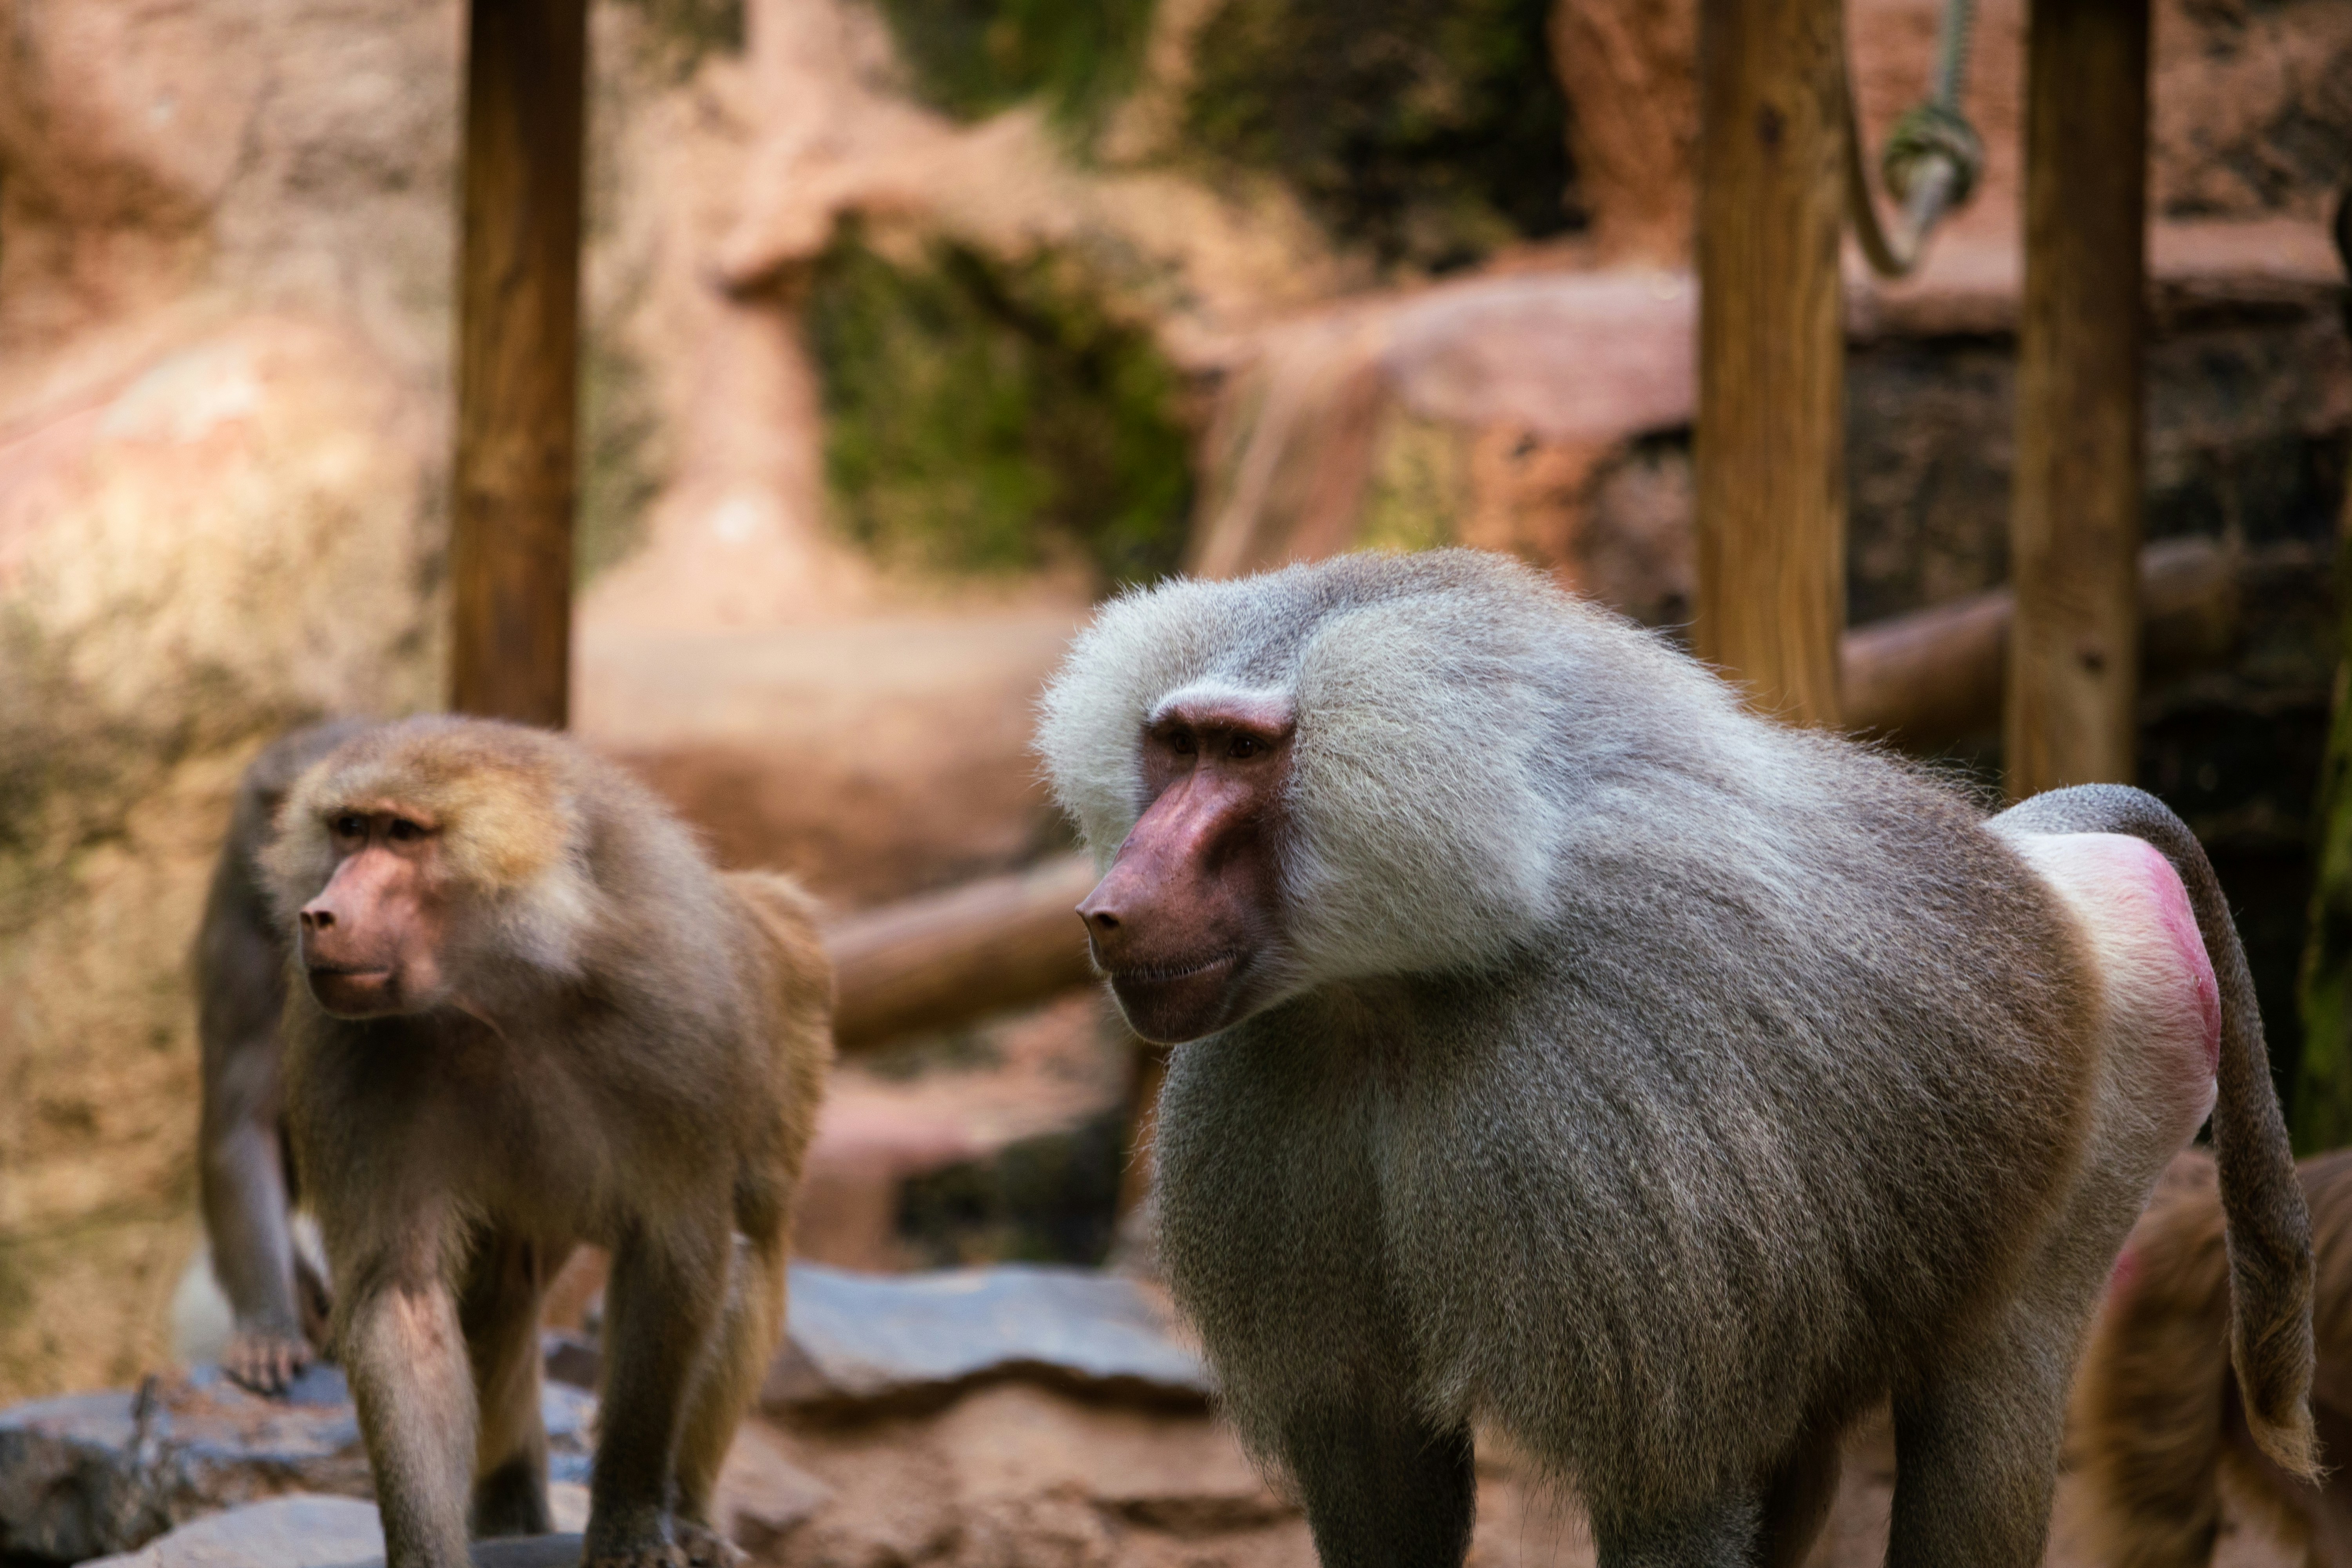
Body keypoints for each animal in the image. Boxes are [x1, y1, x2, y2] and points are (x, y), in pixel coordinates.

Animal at [259, 716, 832, 1568]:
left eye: (404, 834)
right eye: (349, 828)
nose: (319, 915)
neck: (505, 986)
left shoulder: (677, 1017)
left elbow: (678, 1254)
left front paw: (631, 1523)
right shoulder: (346, 1048)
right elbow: (404, 1301)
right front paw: (430, 1553)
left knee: (754, 1244)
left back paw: (692, 1514)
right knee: (502, 1289)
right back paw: (509, 1513)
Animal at [1032, 548, 2314, 1568]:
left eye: (1240, 754)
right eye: (1174, 747)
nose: (1111, 910)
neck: (1385, 992)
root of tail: (2037, 854)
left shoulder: (1595, 1090)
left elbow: (1674, 1488)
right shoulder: (1266, 1089)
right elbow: (1379, 1470)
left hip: (2118, 1086)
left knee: (1988, 1411)